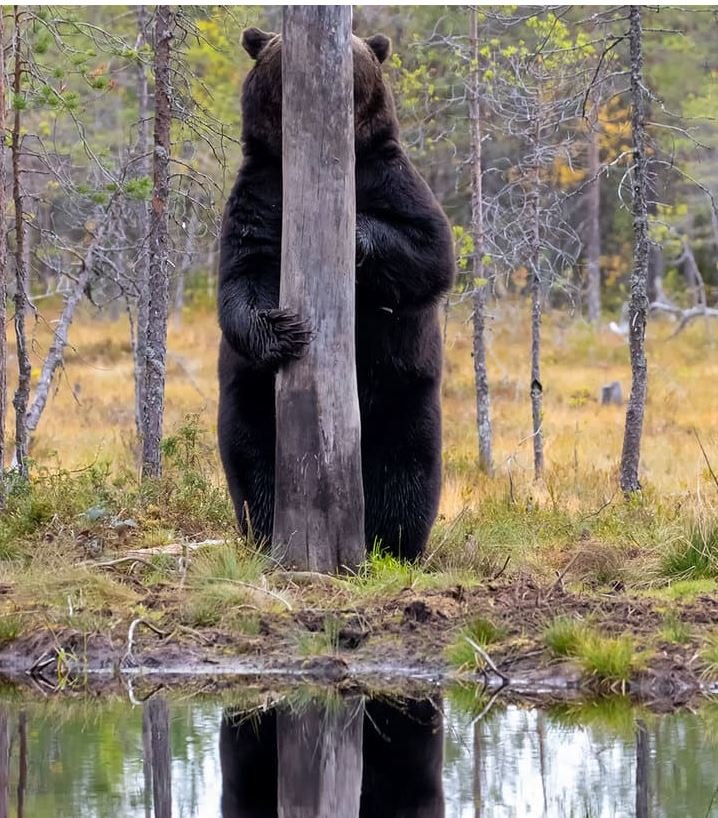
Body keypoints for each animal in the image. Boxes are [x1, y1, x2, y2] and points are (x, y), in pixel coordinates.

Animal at [217, 26, 455, 560]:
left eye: (355, 48)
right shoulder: (261, 192)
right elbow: (242, 274)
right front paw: (284, 329)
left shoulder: (388, 175)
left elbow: (429, 250)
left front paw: (356, 232)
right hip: (251, 399)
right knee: (252, 458)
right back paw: (267, 530)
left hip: (404, 393)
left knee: (407, 469)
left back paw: (394, 544)